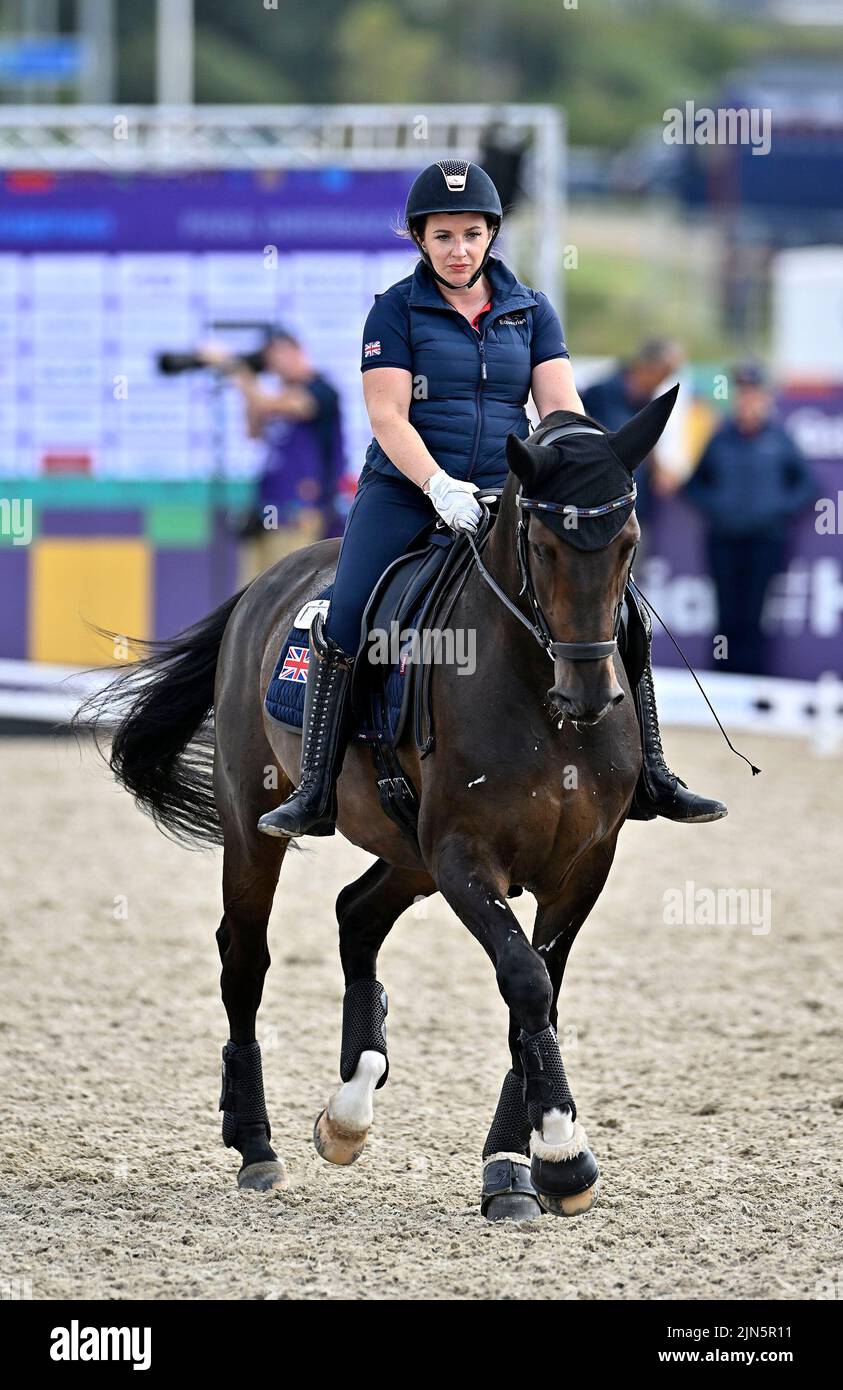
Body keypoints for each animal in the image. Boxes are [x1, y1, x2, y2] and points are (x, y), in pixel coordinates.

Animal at [83, 390, 676, 1221]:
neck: (539, 699)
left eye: (626, 543)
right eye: (543, 546)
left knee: (355, 915)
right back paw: (256, 1145)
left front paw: (512, 1166)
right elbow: (524, 980)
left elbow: (537, 1000)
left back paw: (350, 1106)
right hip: (261, 825)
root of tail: (272, 580)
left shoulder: (583, 866)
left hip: (407, 851)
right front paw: (562, 1157)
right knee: (245, 958)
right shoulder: (463, 856)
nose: (589, 695)